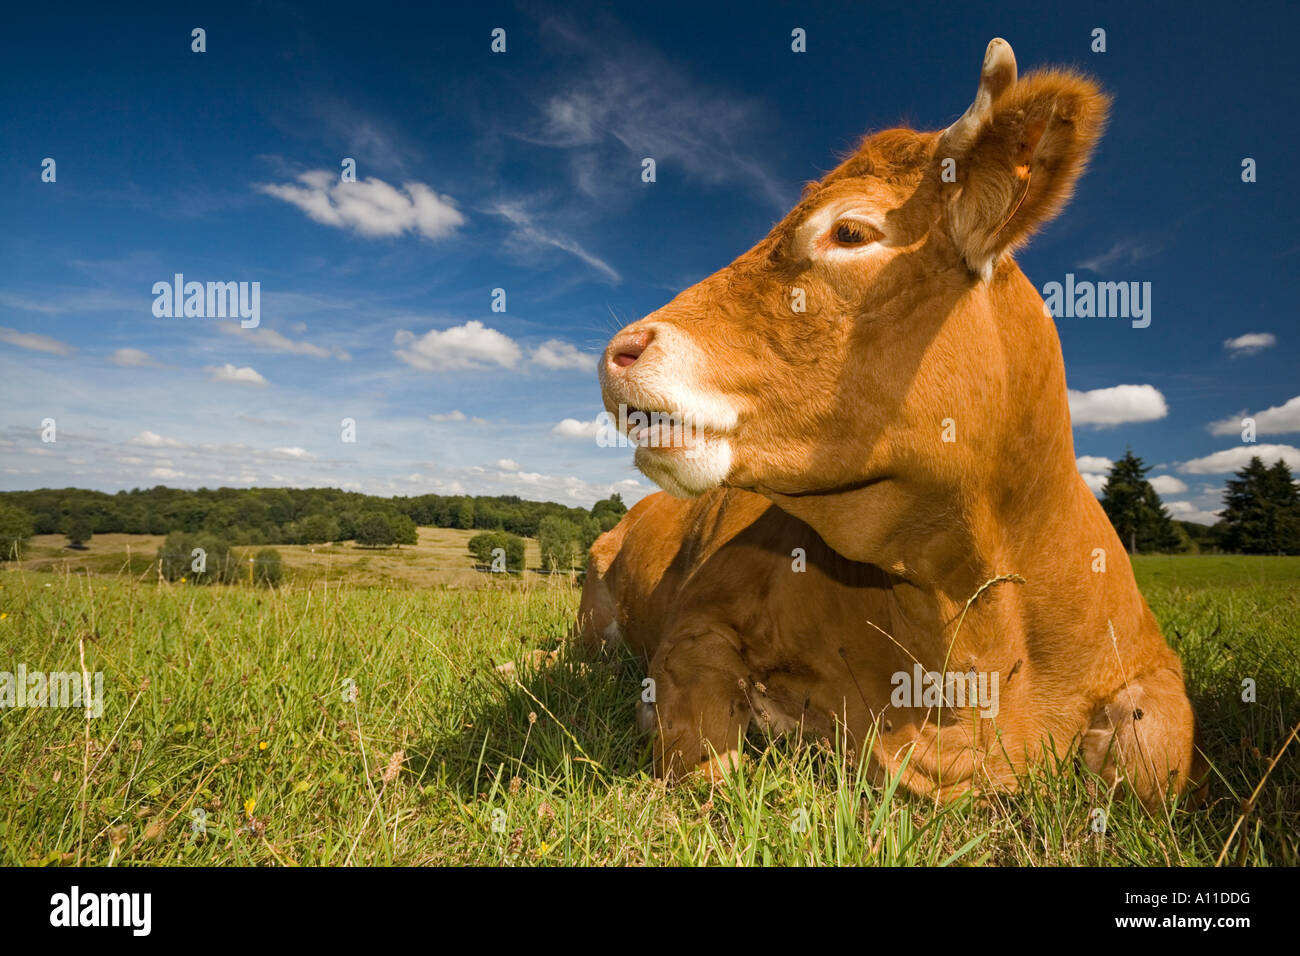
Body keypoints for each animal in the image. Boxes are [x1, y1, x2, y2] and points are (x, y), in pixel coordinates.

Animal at [578, 39, 1205, 810]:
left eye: (850, 231)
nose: (620, 350)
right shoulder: (699, 620)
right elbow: (703, 757)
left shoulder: (1153, 664)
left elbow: (1154, 756)